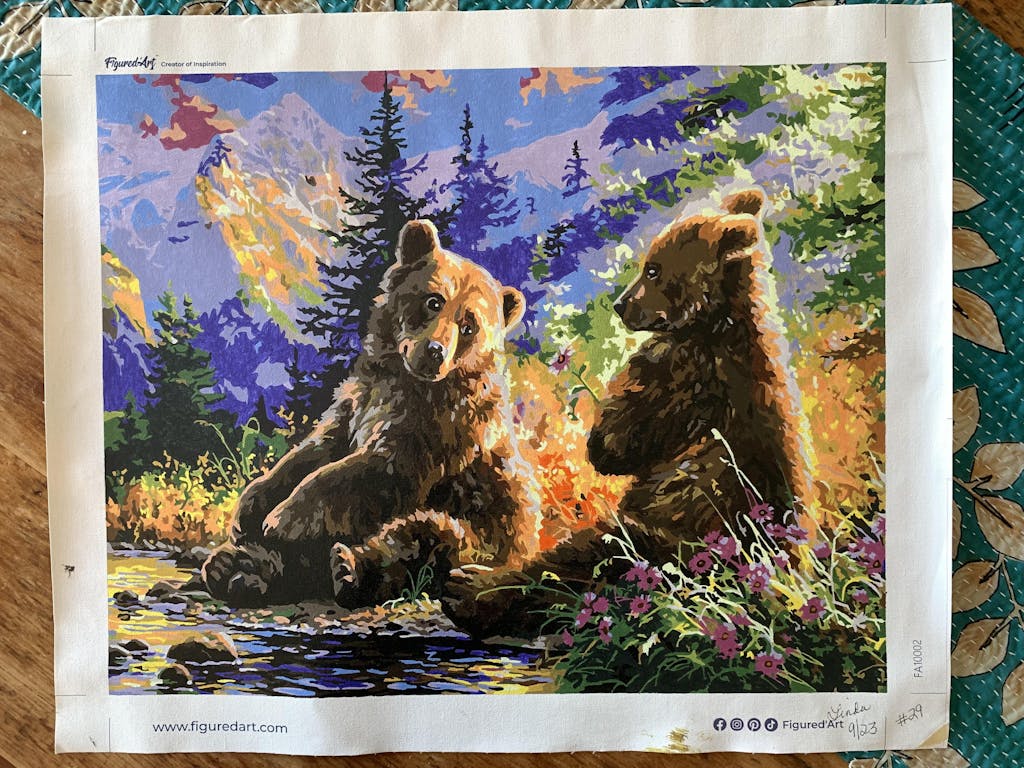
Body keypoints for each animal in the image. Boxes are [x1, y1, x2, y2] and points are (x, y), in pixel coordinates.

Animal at [201, 219, 542, 608]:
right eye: (434, 300)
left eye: (469, 325)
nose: (435, 352)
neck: (404, 379)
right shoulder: (358, 402)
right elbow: (315, 449)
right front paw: (252, 504)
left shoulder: (438, 429)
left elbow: (369, 471)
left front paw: (283, 517)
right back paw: (233, 568)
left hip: (477, 536)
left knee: (422, 538)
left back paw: (345, 570)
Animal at [441, 188, 816, 638]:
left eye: (652, 269)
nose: (621, 306)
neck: (717, 322)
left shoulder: (681, 375)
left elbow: (615, 440)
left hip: (667, 546)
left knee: (584, 561)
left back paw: (469, 588)